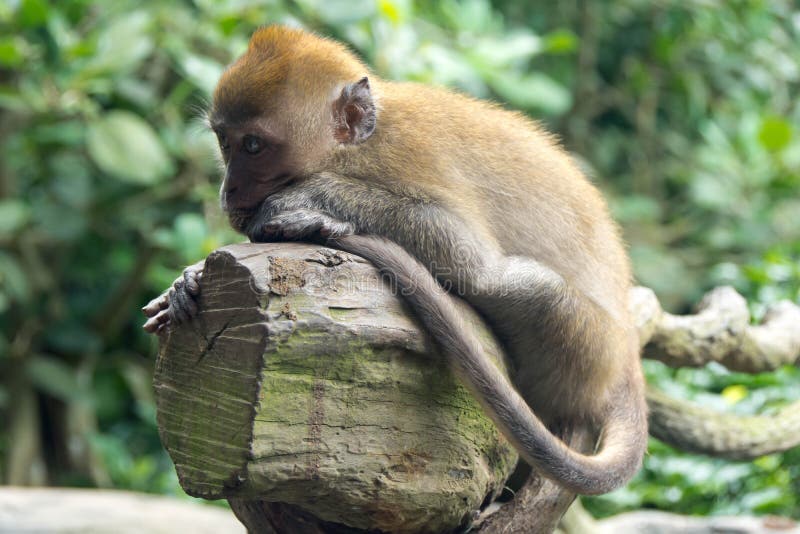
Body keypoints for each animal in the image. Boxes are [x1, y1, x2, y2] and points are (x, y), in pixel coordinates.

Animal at [144, 26, 648, 498]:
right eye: (224, 142)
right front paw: (185, 283)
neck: (359, 147)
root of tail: (627, 358)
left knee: (507, 283)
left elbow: (470, 258)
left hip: (588, 352)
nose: (228, 189)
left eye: (252, 146)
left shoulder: (411, 156)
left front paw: (312, 203)